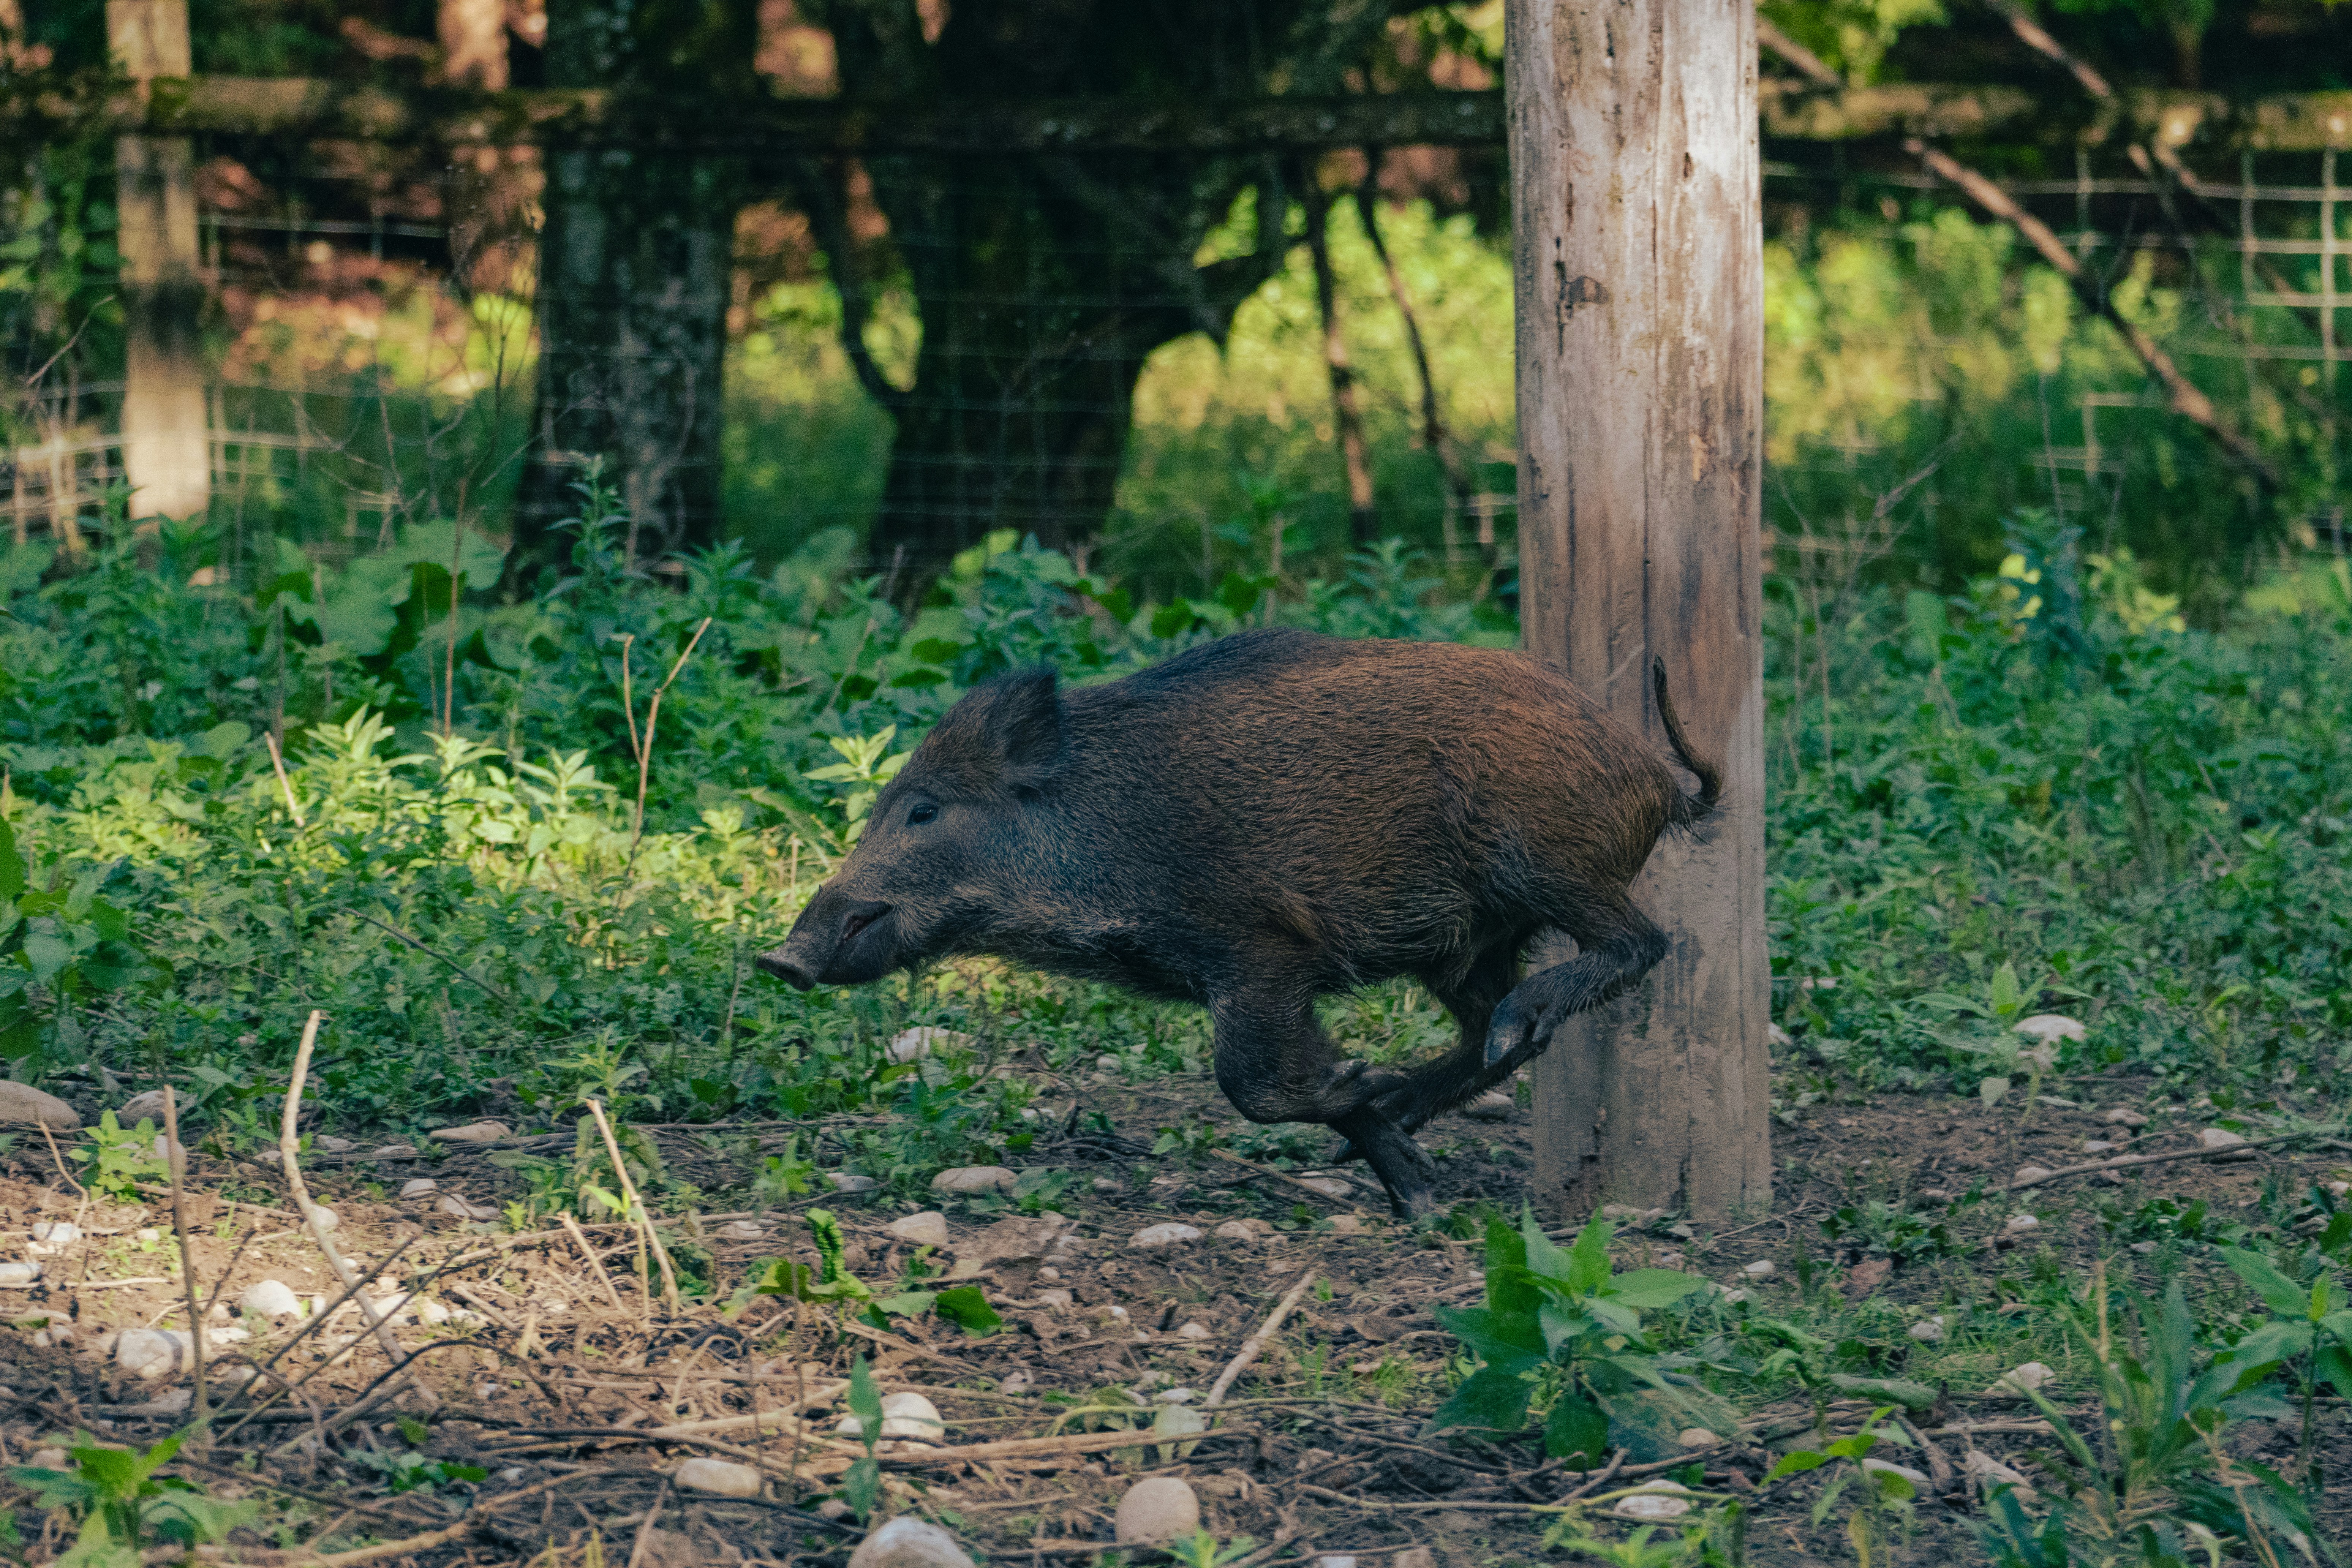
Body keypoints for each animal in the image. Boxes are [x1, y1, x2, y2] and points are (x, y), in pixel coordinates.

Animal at [757, 628, 1719, 1218]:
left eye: (923, 811)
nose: (779, 959)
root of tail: (1656, 777)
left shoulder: (1262, 950)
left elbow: (1254, 1085)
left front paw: (1367, 1091)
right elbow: (1289, 1085)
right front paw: (1408, 1182)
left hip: (1549, 870)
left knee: (1638, 946)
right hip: (1465, 945)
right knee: (1496, 1036)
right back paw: (1423, 1098)